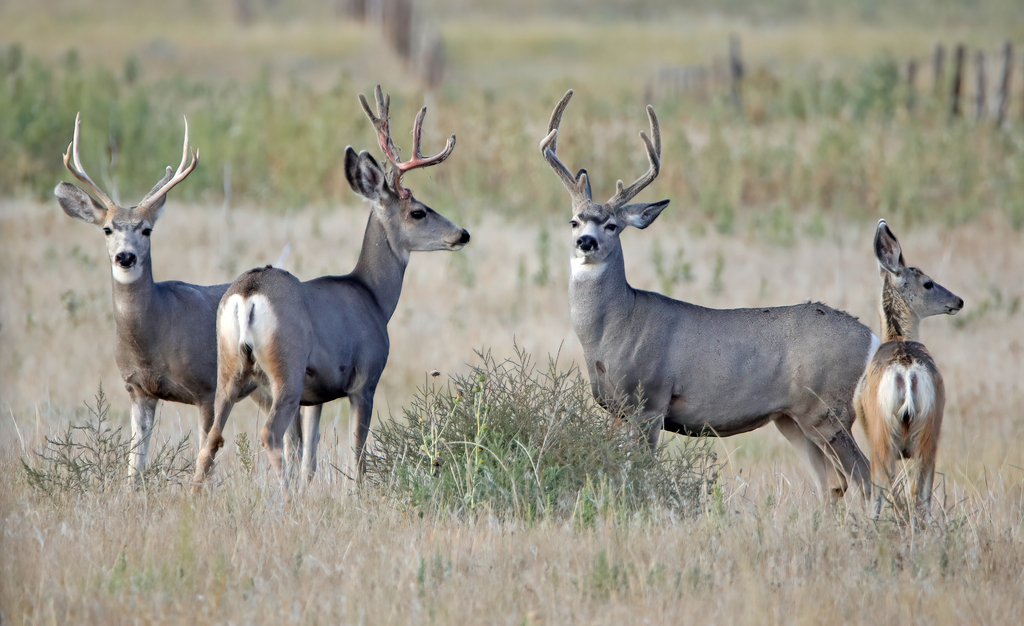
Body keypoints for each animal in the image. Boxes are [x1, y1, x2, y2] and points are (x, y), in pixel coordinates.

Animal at [193, 86, 470, 490]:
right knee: (269, 434)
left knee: (212, 438)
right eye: (418, 211)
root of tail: (247, 296)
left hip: (229, 369)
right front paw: (356, 494)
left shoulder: (316, 397)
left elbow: (309, 457)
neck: (372, 297)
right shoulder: (365, 378)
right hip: (286, 369)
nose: (462, 234)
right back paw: (283, 496)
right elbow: (357, 452)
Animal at [541, 90, 879, 501]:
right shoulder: (617, 410)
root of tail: (872, 339)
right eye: (574, 221)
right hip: (793, 419)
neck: (613, 329)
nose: (585, 242)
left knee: (864, 473)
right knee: (834, 482)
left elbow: (640, 472)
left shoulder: (650, 400)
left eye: (611, 225)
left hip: (828, 409)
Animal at [854, 220, 963, 519]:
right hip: (927, 431)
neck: (898, 337)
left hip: (887, 435)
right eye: (928, 283)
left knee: (888, 486)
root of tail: (906, 372)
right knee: (917, 491)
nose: (958, 301)